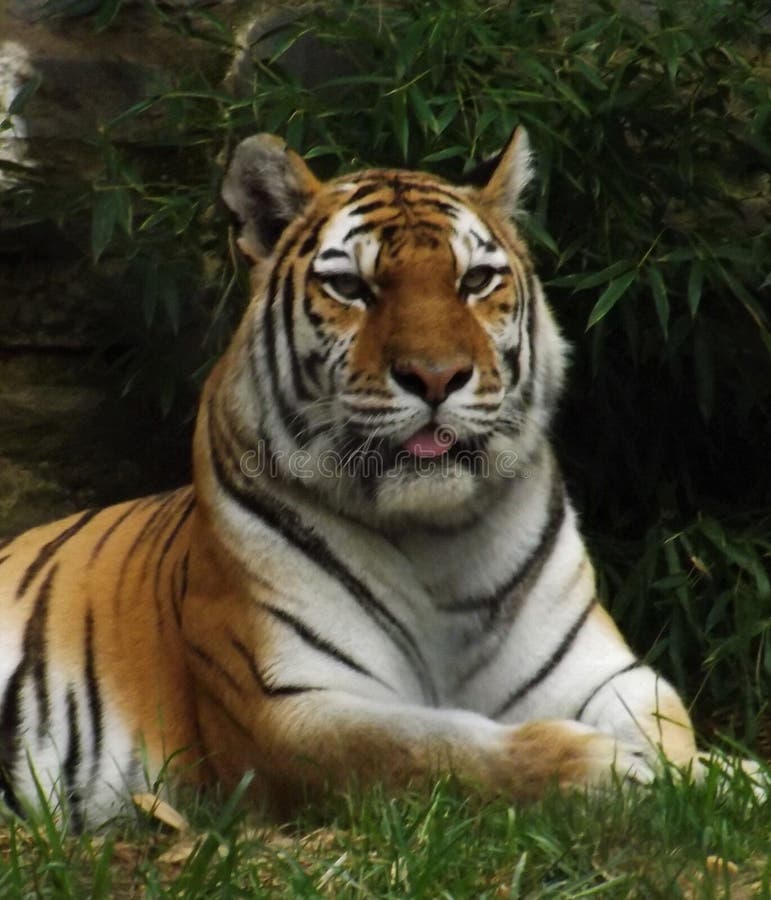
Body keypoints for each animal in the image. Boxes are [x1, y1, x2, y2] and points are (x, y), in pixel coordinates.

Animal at [0, 127, 701, 827]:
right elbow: (435, 749)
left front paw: (710, 778)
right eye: (350, 287)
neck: (436, 538)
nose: (436, 376)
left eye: (475, 280)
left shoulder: (594, 671)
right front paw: (605, 772)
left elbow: (668, 723)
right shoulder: (287, 705)